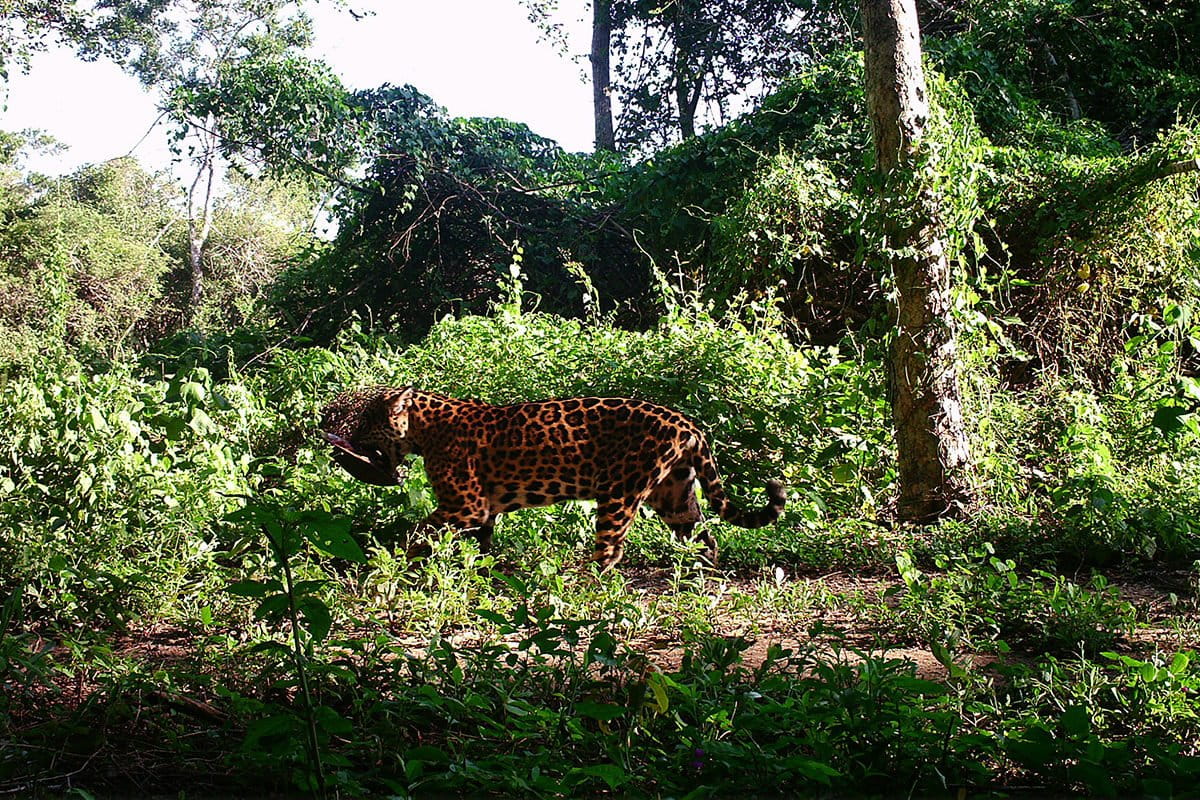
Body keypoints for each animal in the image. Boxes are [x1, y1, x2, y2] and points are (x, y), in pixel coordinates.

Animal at [320, 386, 786, 571]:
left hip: (619, 492)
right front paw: (484, 572)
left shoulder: (462, 505)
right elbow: (480, 544)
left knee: (611, 549)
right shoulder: (481, 511)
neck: (425, 427)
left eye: (367, 424)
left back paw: (585, 583)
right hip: (674, 495)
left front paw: (391, 560)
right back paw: (701, 577)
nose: (345, 441)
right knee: (704, 536)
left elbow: (419, 531)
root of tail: (686, 423)